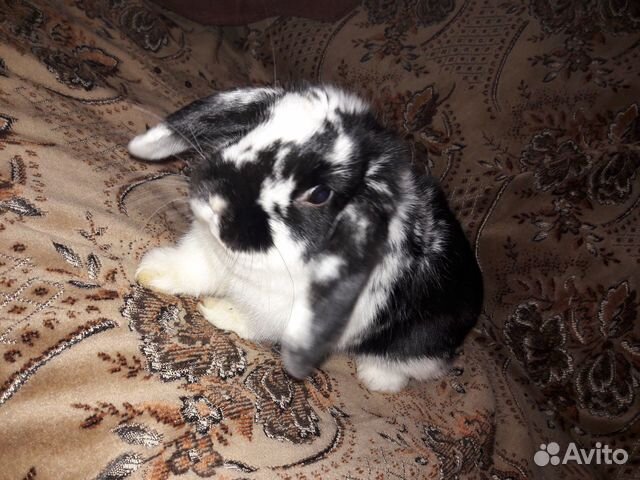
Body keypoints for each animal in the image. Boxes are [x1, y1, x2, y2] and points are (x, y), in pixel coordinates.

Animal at [128, 85, 483, 392]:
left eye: (320, 194)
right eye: (248, 131)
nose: (216, 200)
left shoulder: (279, 312)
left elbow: (251, 322)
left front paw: (216, 310)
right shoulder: (209, 254)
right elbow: (191, 269)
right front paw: (150, 273)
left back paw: (376, 379)